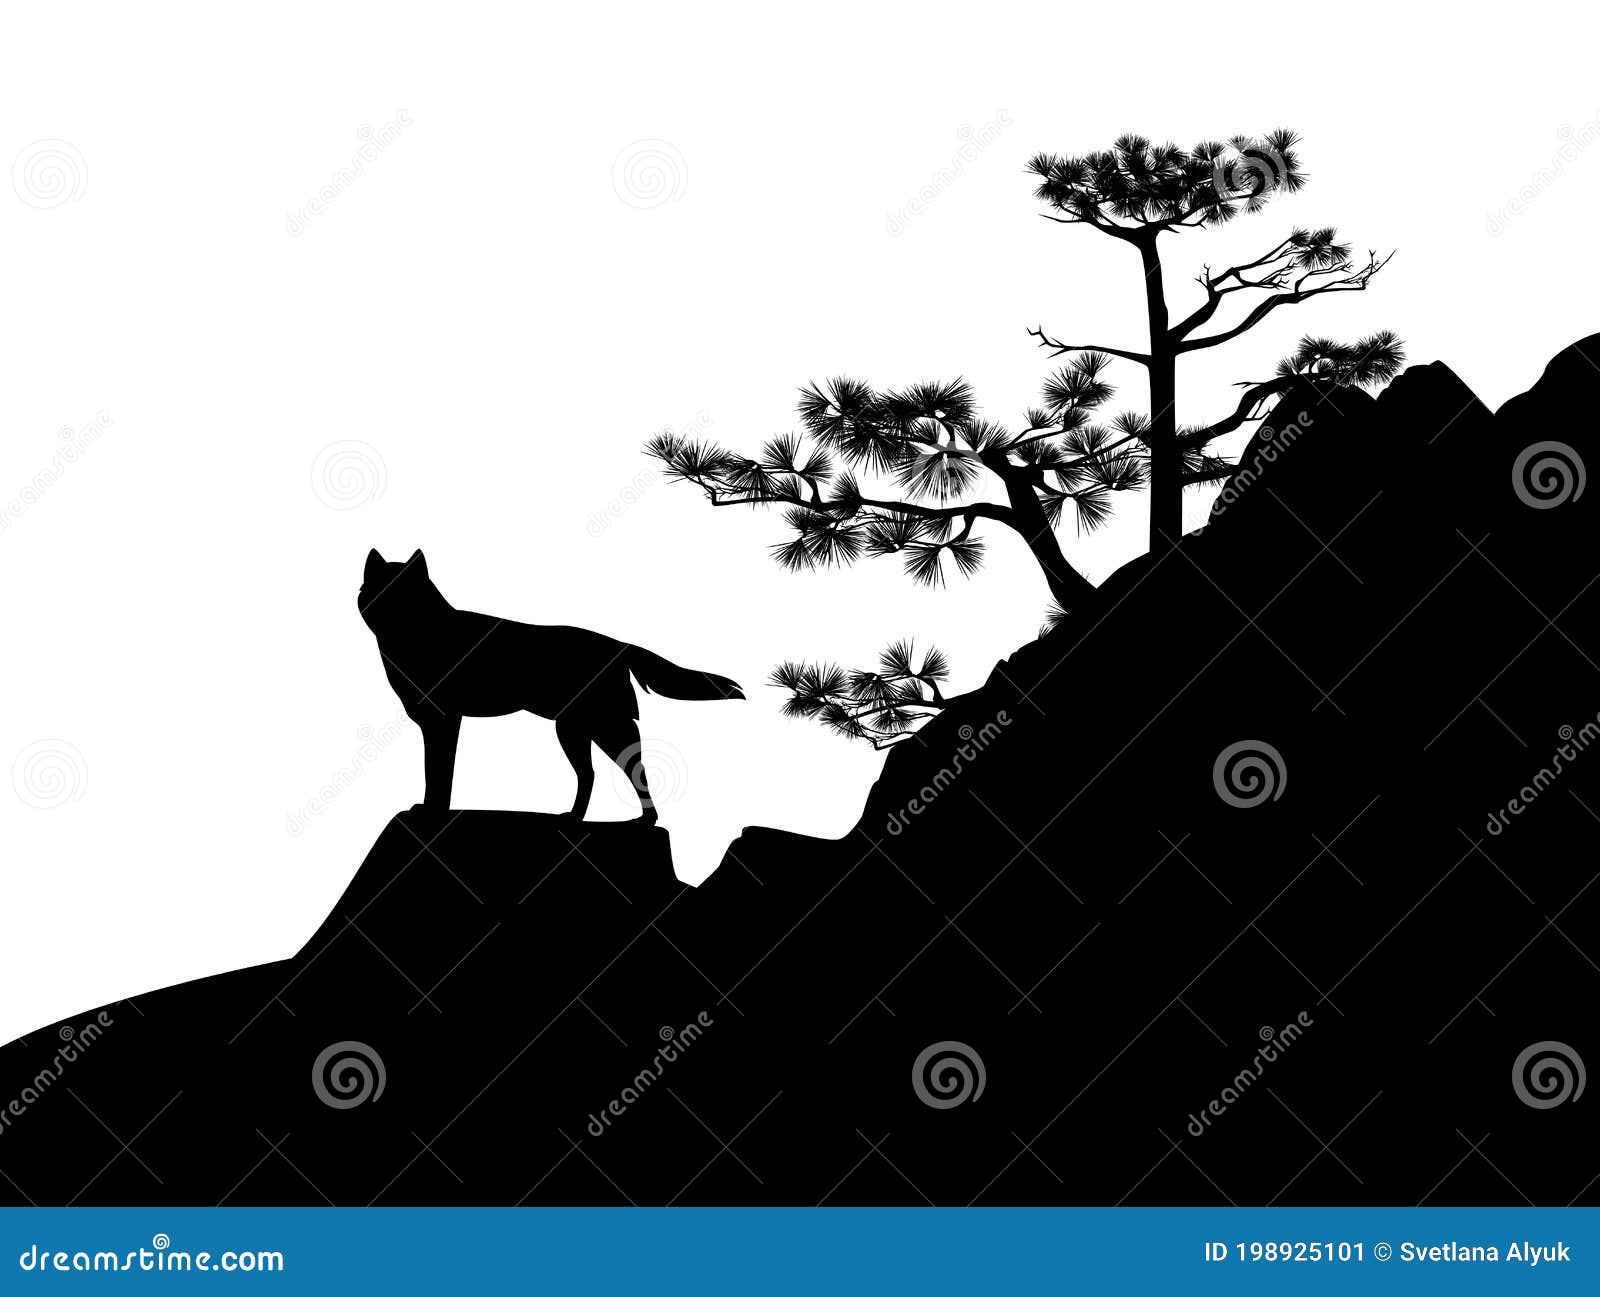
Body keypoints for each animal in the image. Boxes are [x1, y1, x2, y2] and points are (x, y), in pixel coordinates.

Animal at [358, 549, 743, 823]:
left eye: (405, 595)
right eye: (379, 593)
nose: (385, 608)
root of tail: (620, 645)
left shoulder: (445, 721)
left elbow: (440, 773)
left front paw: (435, 813)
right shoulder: (431, 723)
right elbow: (430, 772)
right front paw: (427, 808)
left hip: (598, 727)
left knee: (630, 771)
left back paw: (636, 821)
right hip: (580, 729)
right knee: (596, 773)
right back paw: (579, 818)